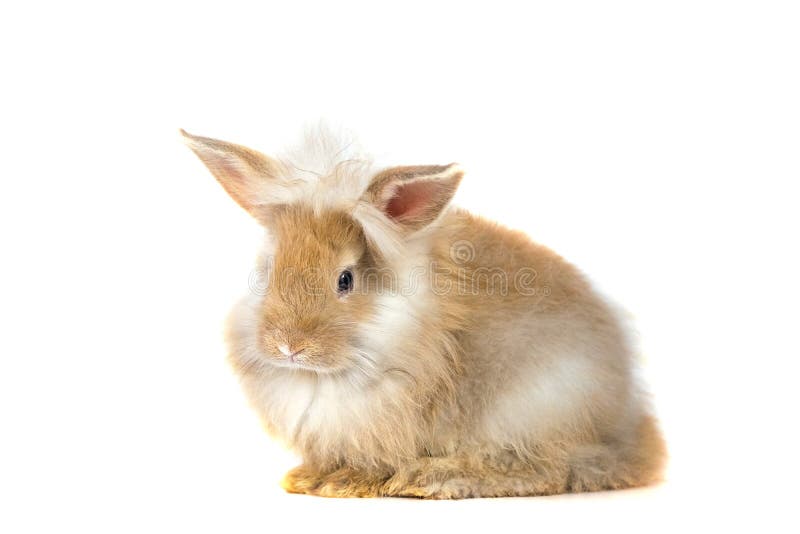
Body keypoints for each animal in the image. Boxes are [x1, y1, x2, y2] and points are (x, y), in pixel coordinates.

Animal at [181, 126, 666, 499]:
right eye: (268, 271)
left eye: (345, 280)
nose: (288, 346)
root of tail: (625, 426)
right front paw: (309, 477)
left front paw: (346, 481)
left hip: (532, 406)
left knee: (544, 468)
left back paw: (430, 479)